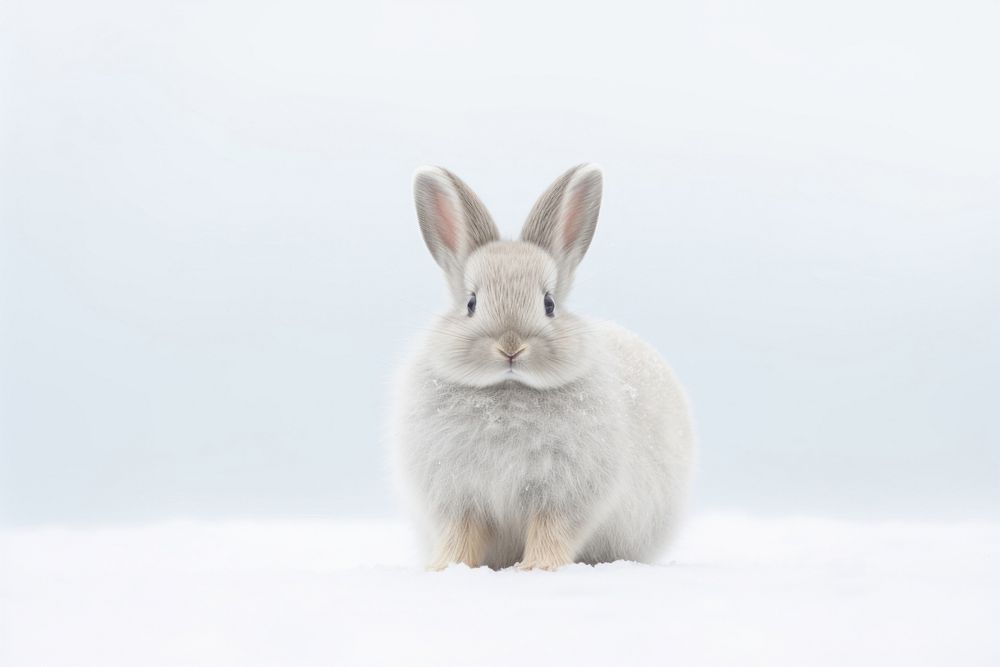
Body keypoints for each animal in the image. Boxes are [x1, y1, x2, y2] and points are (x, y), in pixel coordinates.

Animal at [391, 164, 695, 571]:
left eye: (549, 303)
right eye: (471, 303)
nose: (511, 347)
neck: (508, 391)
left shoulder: (564, 495)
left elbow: (551, 530)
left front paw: (538, 566)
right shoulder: (458, 498)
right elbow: (461, 534)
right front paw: (447, 567)